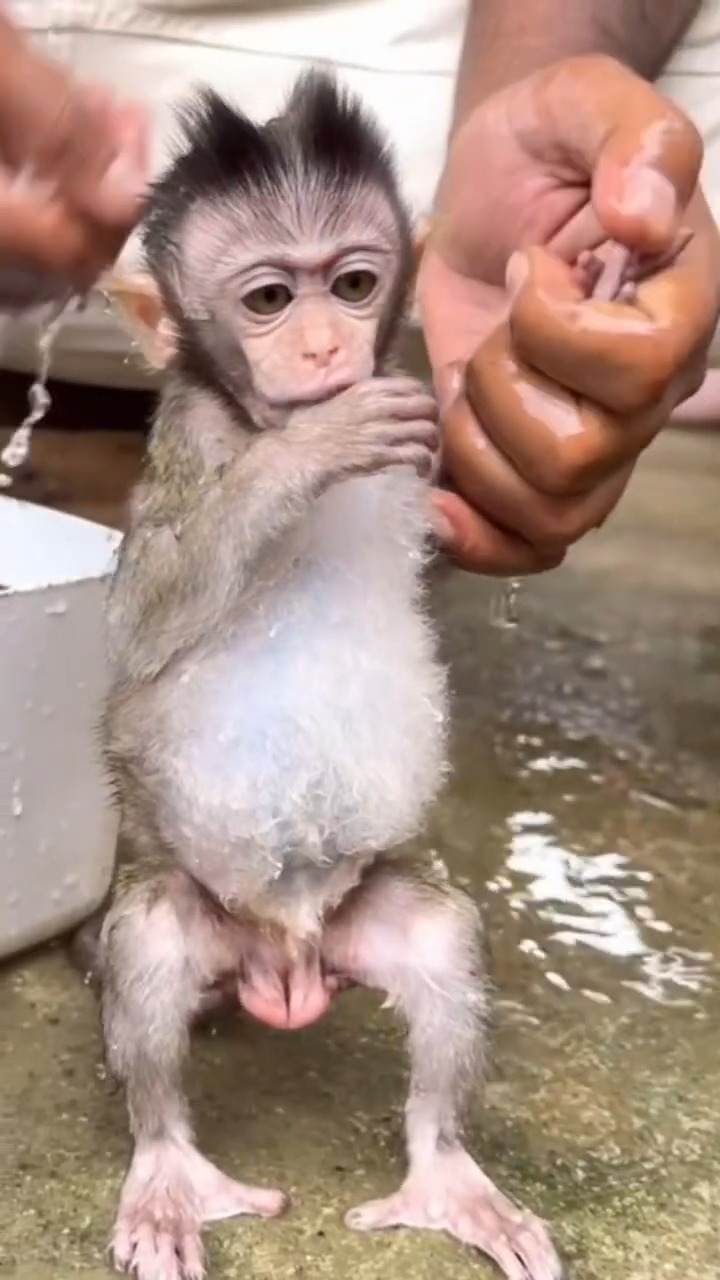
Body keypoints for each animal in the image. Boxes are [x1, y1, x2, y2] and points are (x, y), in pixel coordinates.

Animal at [83, 70, 563, 1280]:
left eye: (353, 284)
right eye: (266, 299)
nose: (319, 351)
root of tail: (289, 954)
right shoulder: (191, 436)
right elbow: (143, 618)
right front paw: (306, 452)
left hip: (361, 918)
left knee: (440, 938)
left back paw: (447, 1172)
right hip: (201, 912)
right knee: (149, 937)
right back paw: (169, 1170)